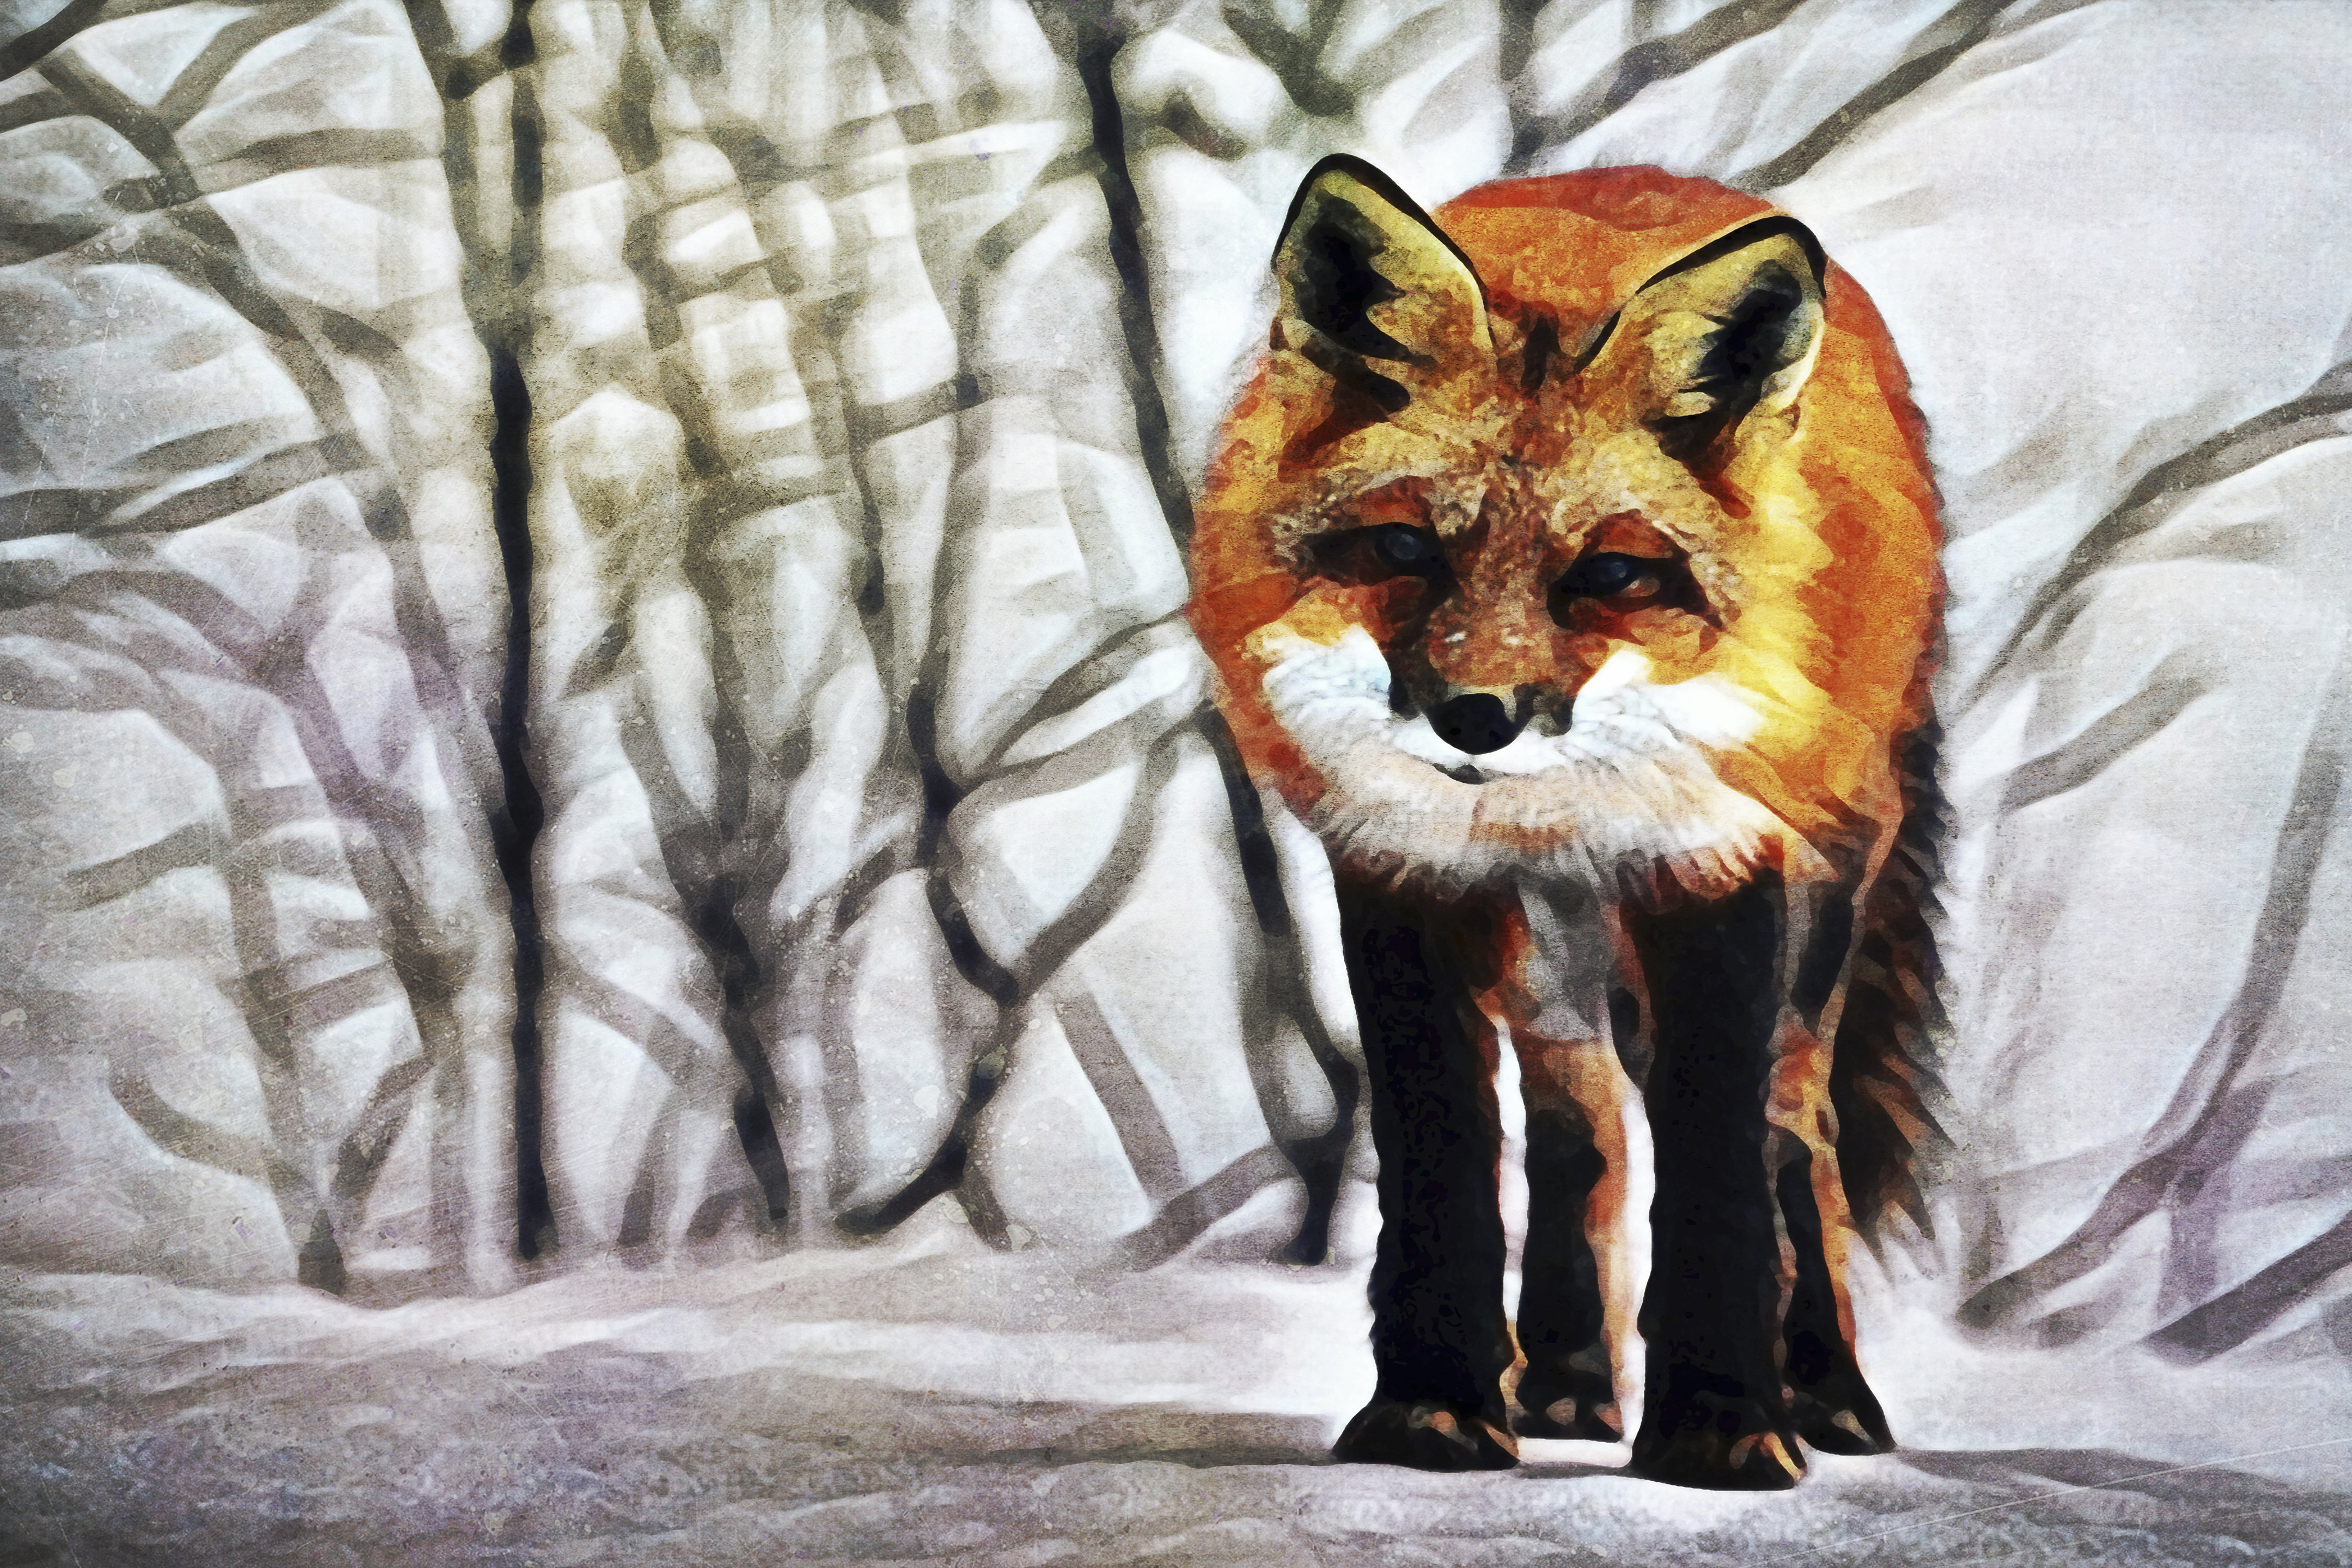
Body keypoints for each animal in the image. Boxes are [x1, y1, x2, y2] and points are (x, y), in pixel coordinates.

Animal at [1187, 157, 1943, 1489]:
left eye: (1610, 575)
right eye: (1403, 546)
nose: (1475, 718)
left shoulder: (1715, 859)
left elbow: (1717, 1165)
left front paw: (1720, 1426)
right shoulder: (1398, 869)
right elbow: (1438, 1153)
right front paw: (1432, 1407)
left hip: (1814, 912)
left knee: (1791, 1124)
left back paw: (1824, 1389)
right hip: (1543, 954)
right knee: (1575, 1119)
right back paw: (1564, 1380)